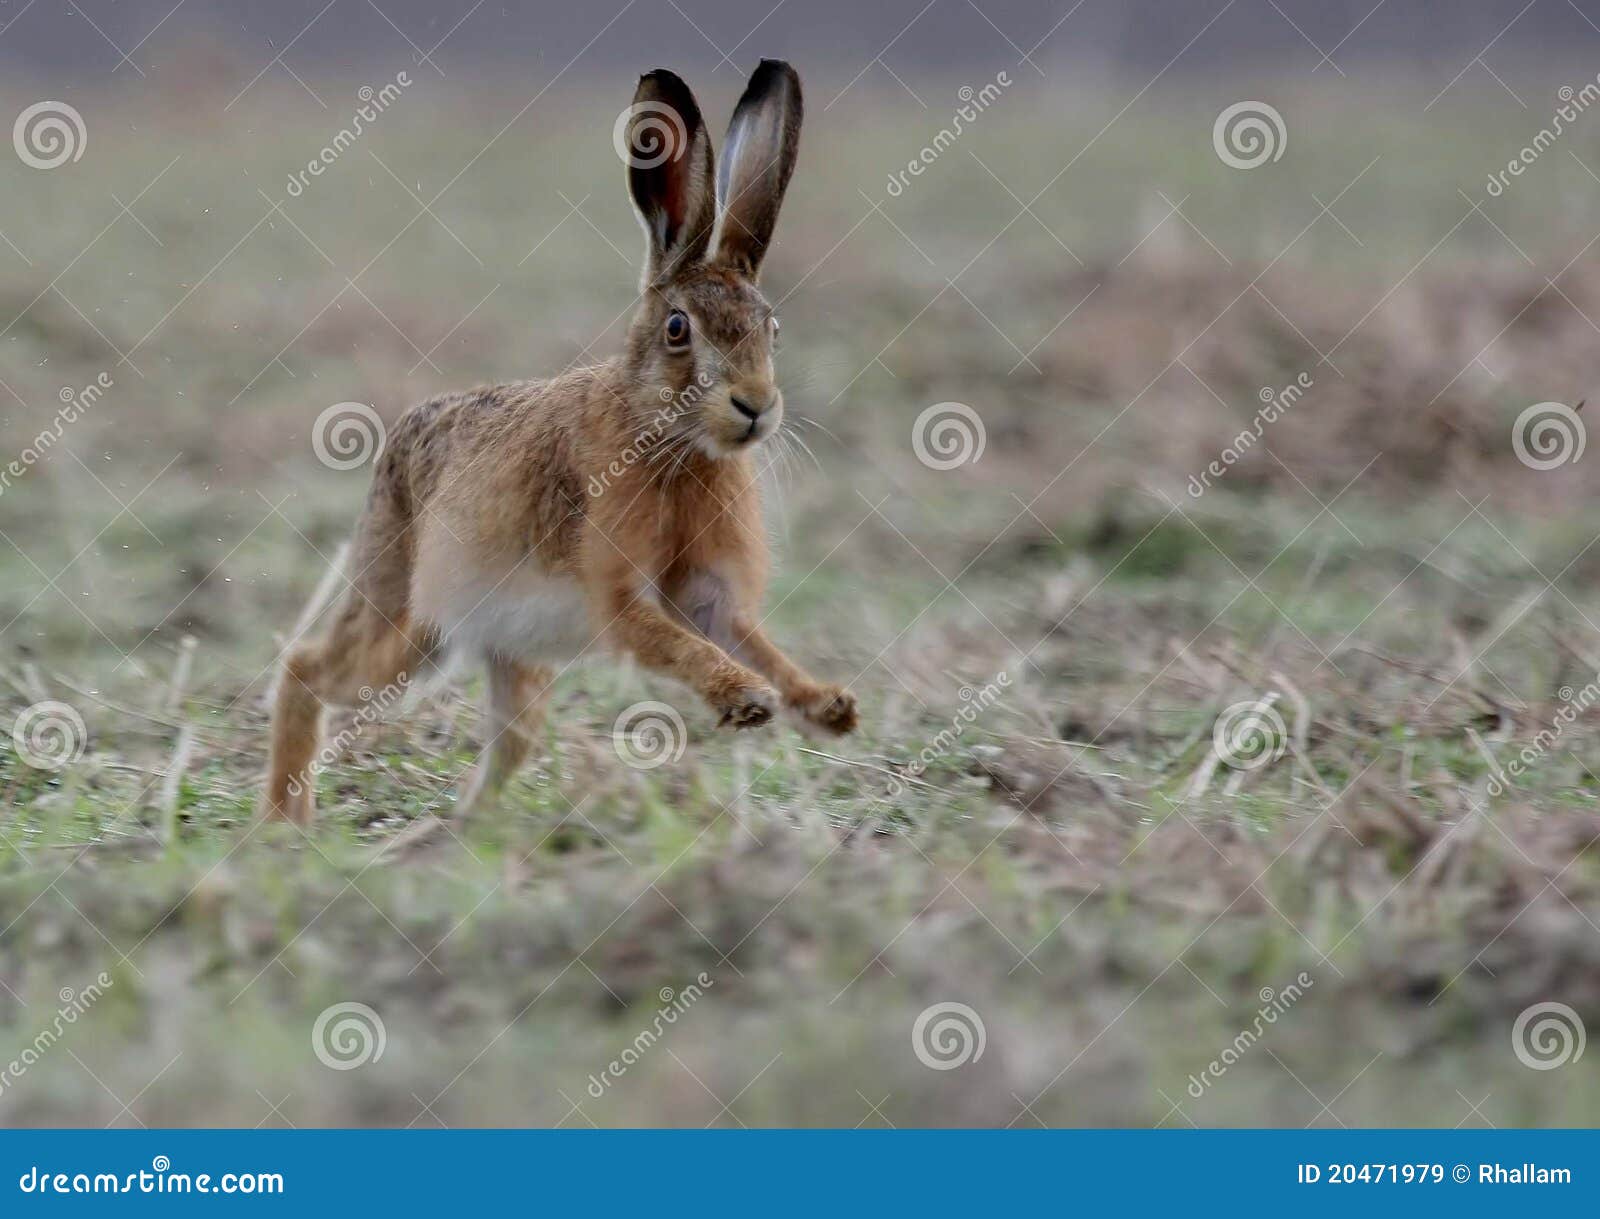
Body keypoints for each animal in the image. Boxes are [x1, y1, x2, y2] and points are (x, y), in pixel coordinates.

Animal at [263, 60, 858, 826]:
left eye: (772, 330)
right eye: (678, 329)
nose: (755, 407)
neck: (669, 441)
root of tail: (398, 441)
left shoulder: (710, 596)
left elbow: (755, 641)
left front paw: (826, 705)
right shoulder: (620, 598)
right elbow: (672, 642)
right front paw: (744, 699)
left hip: (500, 648)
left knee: (510, 739)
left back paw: (460, 826)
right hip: (402, 623)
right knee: (306, 669)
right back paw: (285, 823)